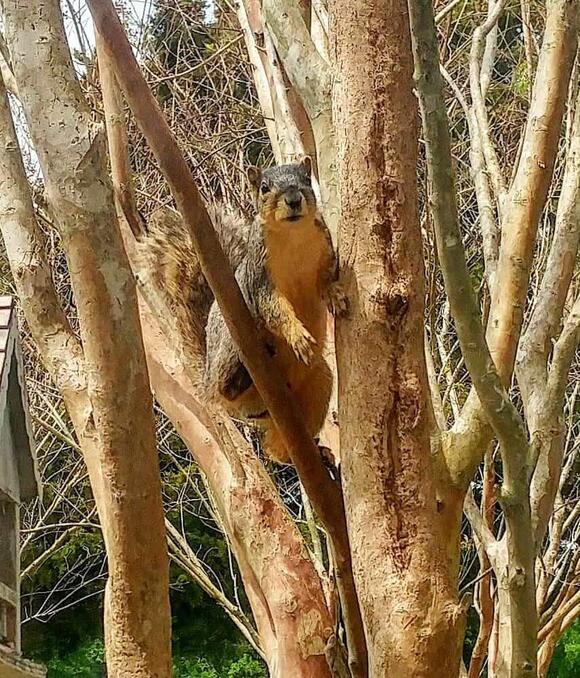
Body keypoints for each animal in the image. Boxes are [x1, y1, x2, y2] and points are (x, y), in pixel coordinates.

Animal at [204, 156, 347, 463]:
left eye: (305, 179)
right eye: (264, 187)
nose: (293, 199)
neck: (292, 236)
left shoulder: (325, 249)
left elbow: (325, 280)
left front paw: (335, 295)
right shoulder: (260, 278)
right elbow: (273, 307)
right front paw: (298, 336)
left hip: (318, 381)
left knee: (275, 449)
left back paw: (312, 453)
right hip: (229, 342)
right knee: (225, 385)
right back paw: (236, 378)